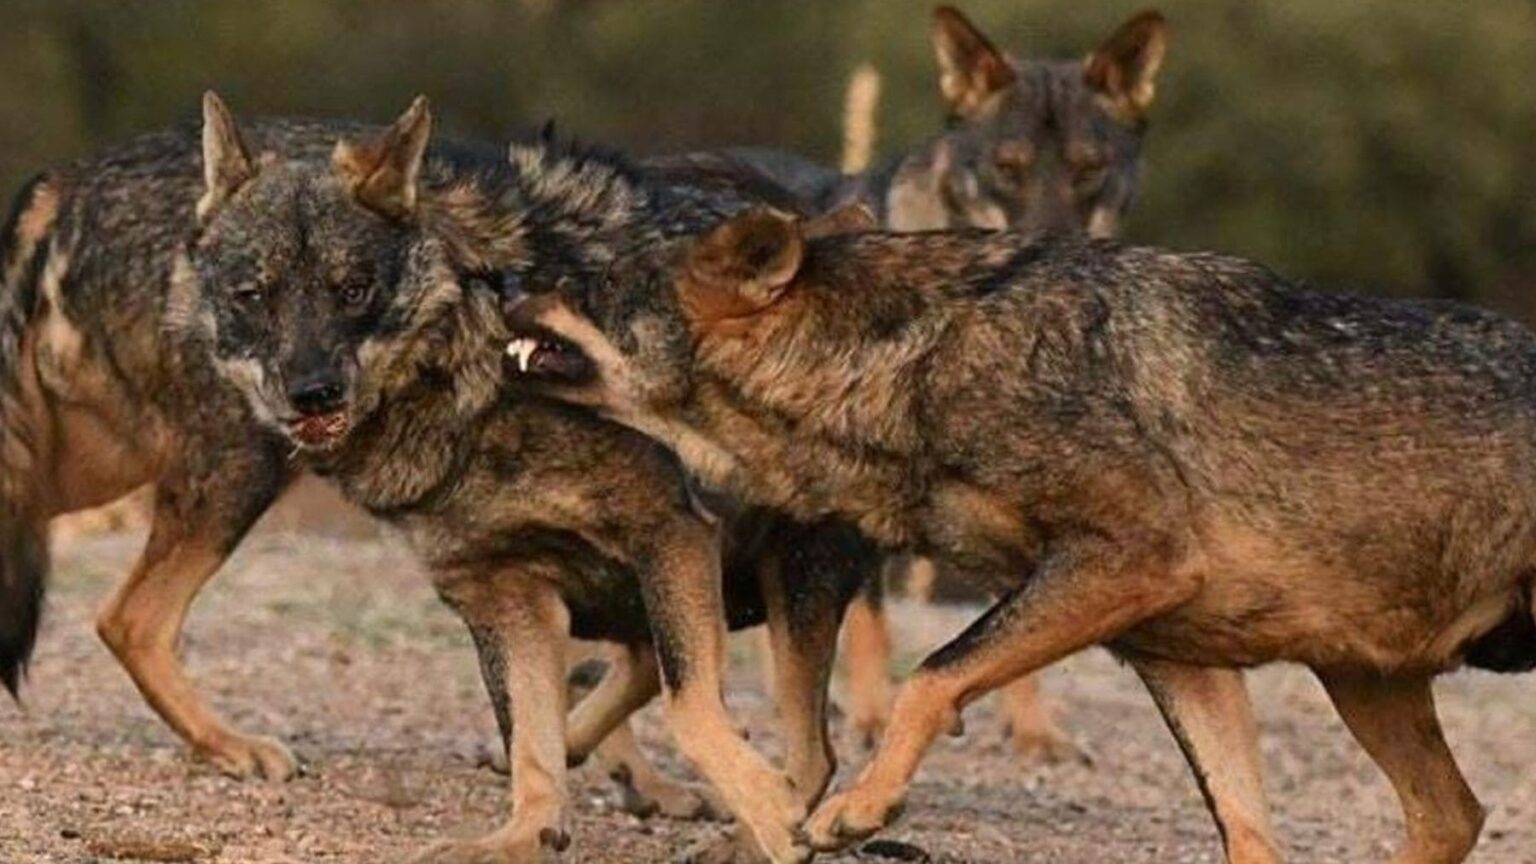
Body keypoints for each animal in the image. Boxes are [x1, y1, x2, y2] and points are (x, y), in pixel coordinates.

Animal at [176, 96, 885, 863]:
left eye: (354, 290)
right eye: (253, 296)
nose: (313, 394)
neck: (472, 366)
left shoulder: (669, 532)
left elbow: (690, 707)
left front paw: (773, 813)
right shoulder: (501, 593)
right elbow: (532, 741)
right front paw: (528, 832)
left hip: (792, 582)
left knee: (811, 753)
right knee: (636, 676)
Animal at [507, 206, 1536, 864]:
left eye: (593, 282)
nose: (507, 285)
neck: (916, 354)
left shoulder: (1130, 560)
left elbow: (930, 679)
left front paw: (861, 810)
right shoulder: (1178, 654)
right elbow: (1248, 833)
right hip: (1363, 681)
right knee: (1453, 814)